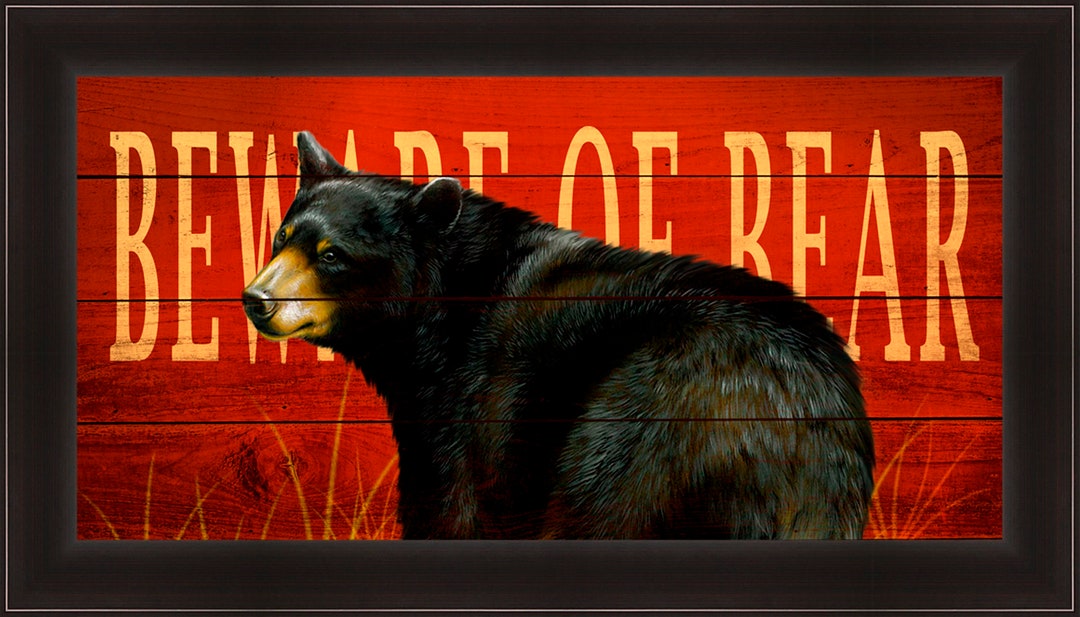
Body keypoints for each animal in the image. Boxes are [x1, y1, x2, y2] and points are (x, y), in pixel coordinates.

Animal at [242, 131, 875, 539]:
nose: (257, 299)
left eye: (332, 255)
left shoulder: (467, 398)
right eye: (282, 236)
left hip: (637, 430)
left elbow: (453, 504)